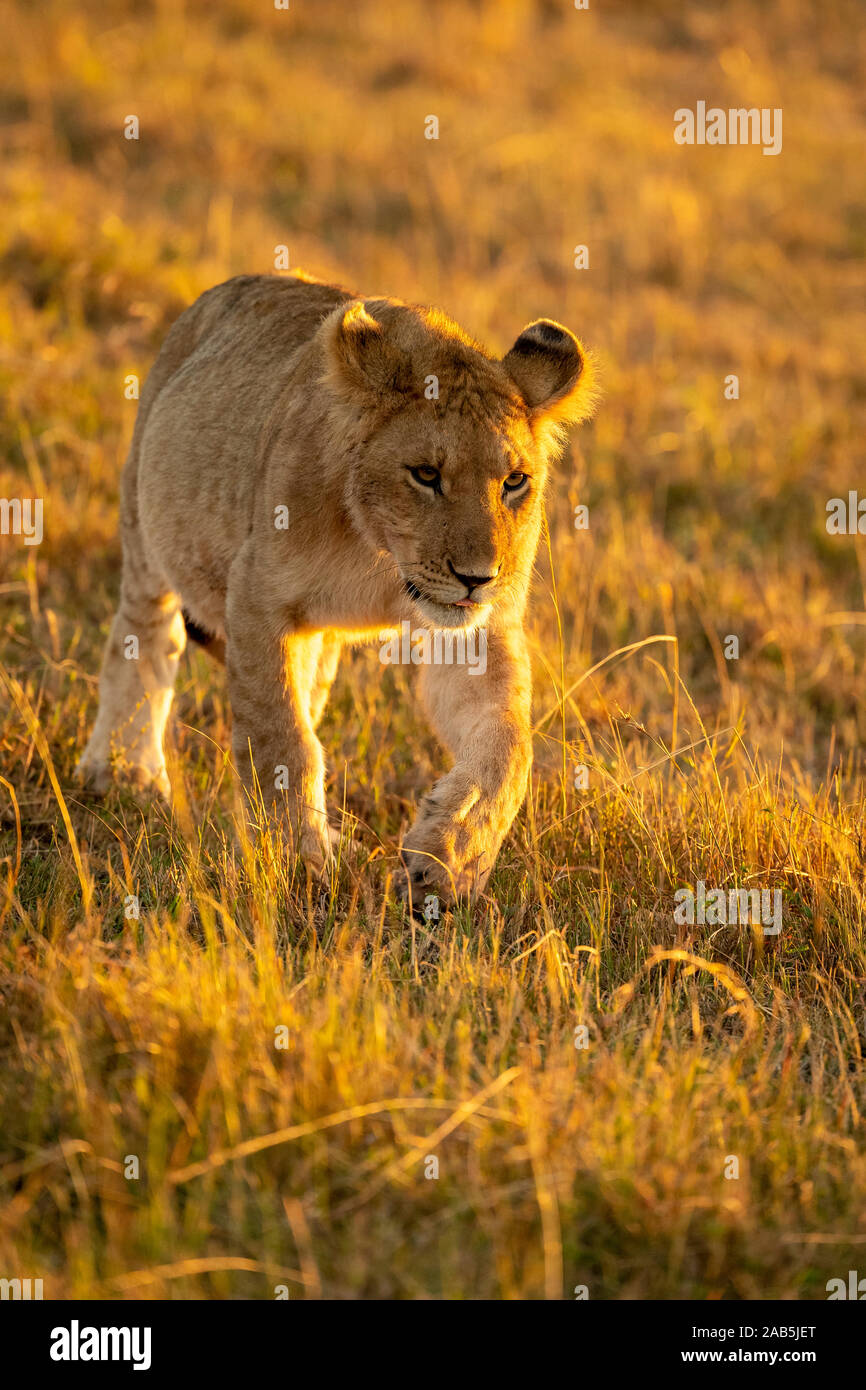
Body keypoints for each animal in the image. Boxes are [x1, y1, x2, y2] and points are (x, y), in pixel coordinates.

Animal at [77, 271, 598, 902]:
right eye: (426, 474)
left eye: (514, 481)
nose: (477, 578)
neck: (379, 555)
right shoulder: (257, 597)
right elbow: (283, 739)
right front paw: (299, 862)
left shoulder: (477, 631)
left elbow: (506, 747)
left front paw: (449, 855)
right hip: (147, 527)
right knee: (145, 637)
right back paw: (123, 772)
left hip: (318, 637)